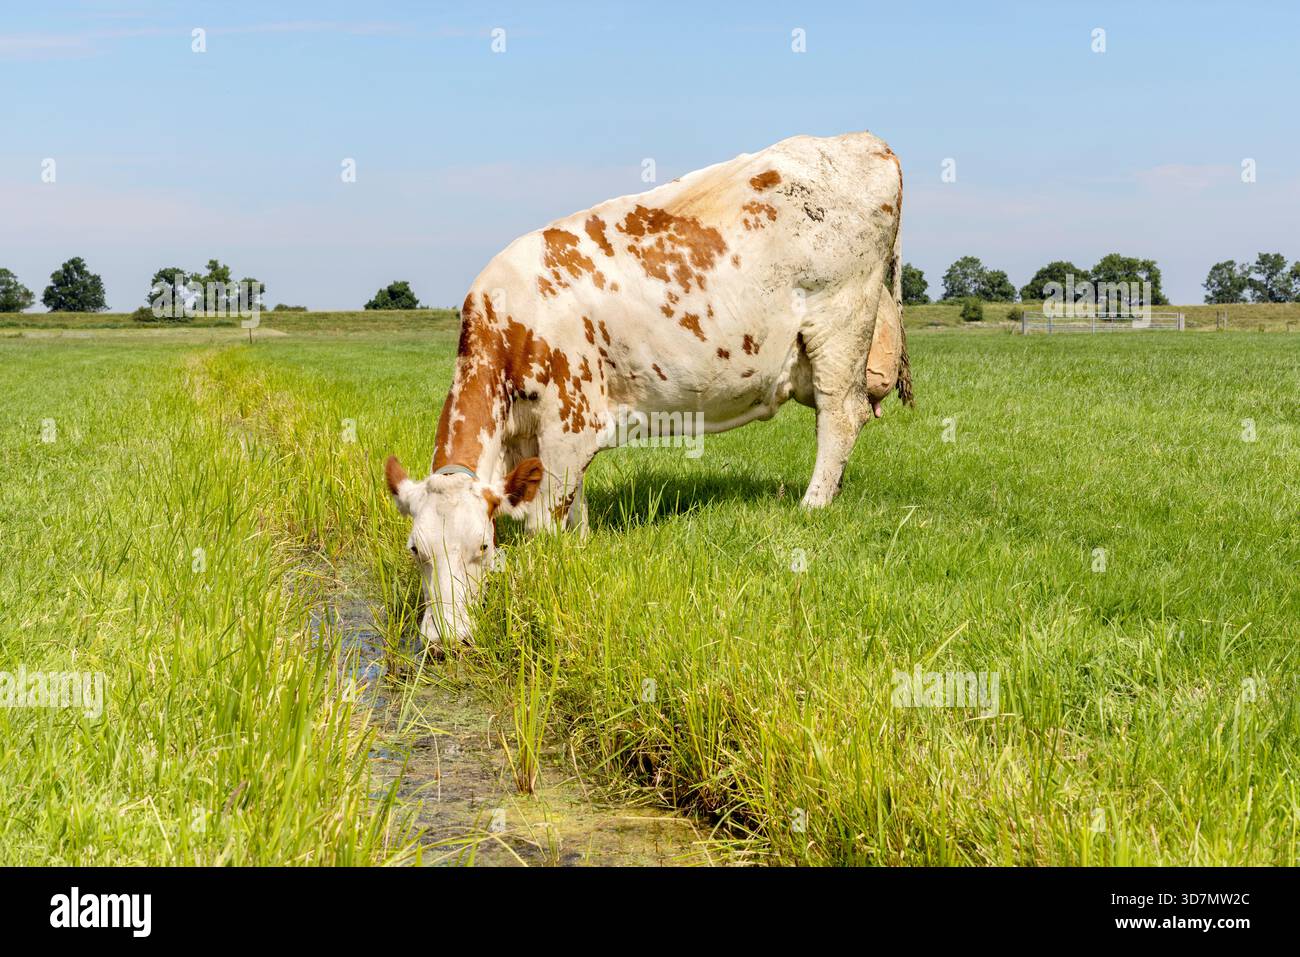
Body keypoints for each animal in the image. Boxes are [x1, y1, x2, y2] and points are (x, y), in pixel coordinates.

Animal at [385, 131, 912, 652]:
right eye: (415, 550)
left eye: (481, 545)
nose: (444, 639)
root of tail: (864, 140)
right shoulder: (532, 437)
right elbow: (571, 509)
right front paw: (577, 551)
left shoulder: (569, 422)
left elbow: (545, 521)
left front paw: (547, 573)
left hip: (840, 324)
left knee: (839, 415)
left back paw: (812, 505)